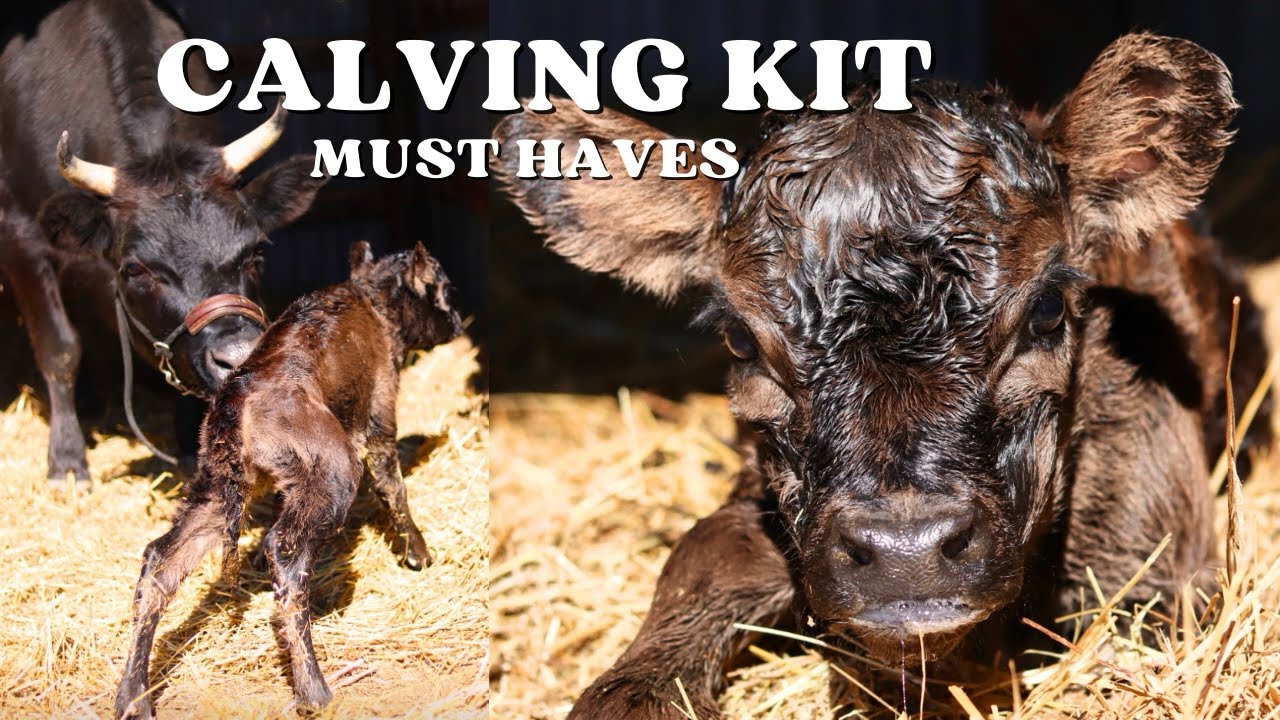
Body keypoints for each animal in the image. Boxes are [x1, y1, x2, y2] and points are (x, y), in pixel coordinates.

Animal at [0, 0, 325, 482]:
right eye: (136, 269)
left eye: (255, 253)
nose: (237, 356)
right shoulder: (20, 236)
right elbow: (59, 348)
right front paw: (66, 460)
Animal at [114, 241, 463, 719]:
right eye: (443, 287)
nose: (458, 320)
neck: (372, 297)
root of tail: (235, 401)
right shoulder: (379, 414)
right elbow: (393, 488)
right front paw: (419, 555)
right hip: (333, 473)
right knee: (285, 553)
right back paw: (314, 691)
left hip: (215, 492)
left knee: (160, 564)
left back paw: (133, 697)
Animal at [495, 34, 1273, 718]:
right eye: (741, 340)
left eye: (1049, 308)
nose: (909, 554)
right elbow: (706, 553)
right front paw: (634, 690)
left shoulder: (1161, 562)